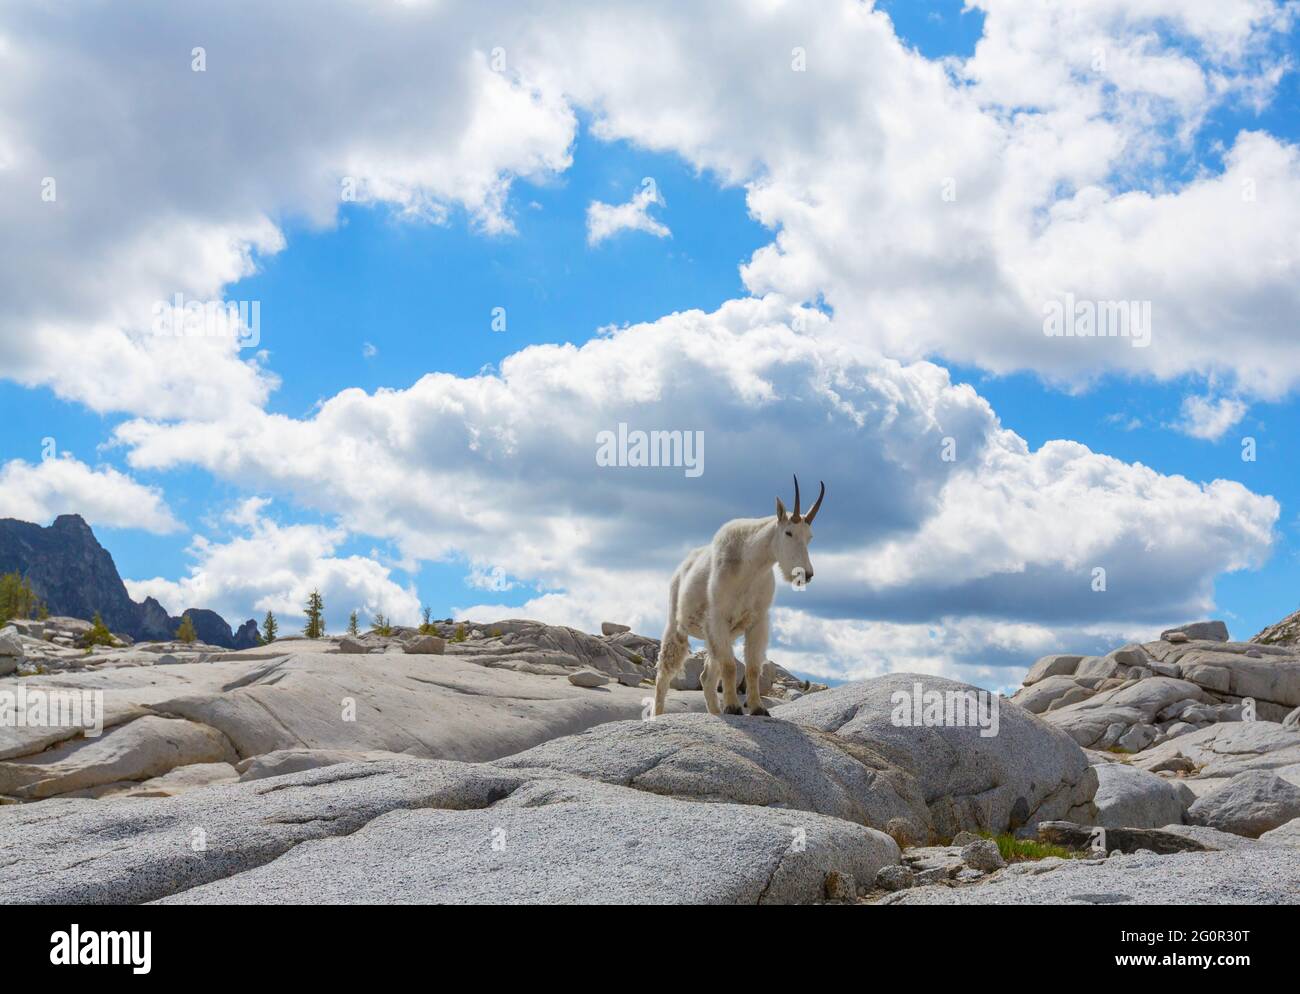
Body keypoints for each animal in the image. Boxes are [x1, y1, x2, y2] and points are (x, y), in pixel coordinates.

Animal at [653, 476, 824, 717]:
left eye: (810, 537)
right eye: (788, 532)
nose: (805, 574)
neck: (751, 566)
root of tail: (681, 568)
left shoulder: (758, 621)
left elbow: (751, 668)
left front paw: (757, 708)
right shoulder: (718, 618)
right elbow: (730, 666)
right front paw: (733, 707)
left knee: (706, 677)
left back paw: (715, 711)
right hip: (677, 627)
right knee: (664, 674)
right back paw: (657, 715)